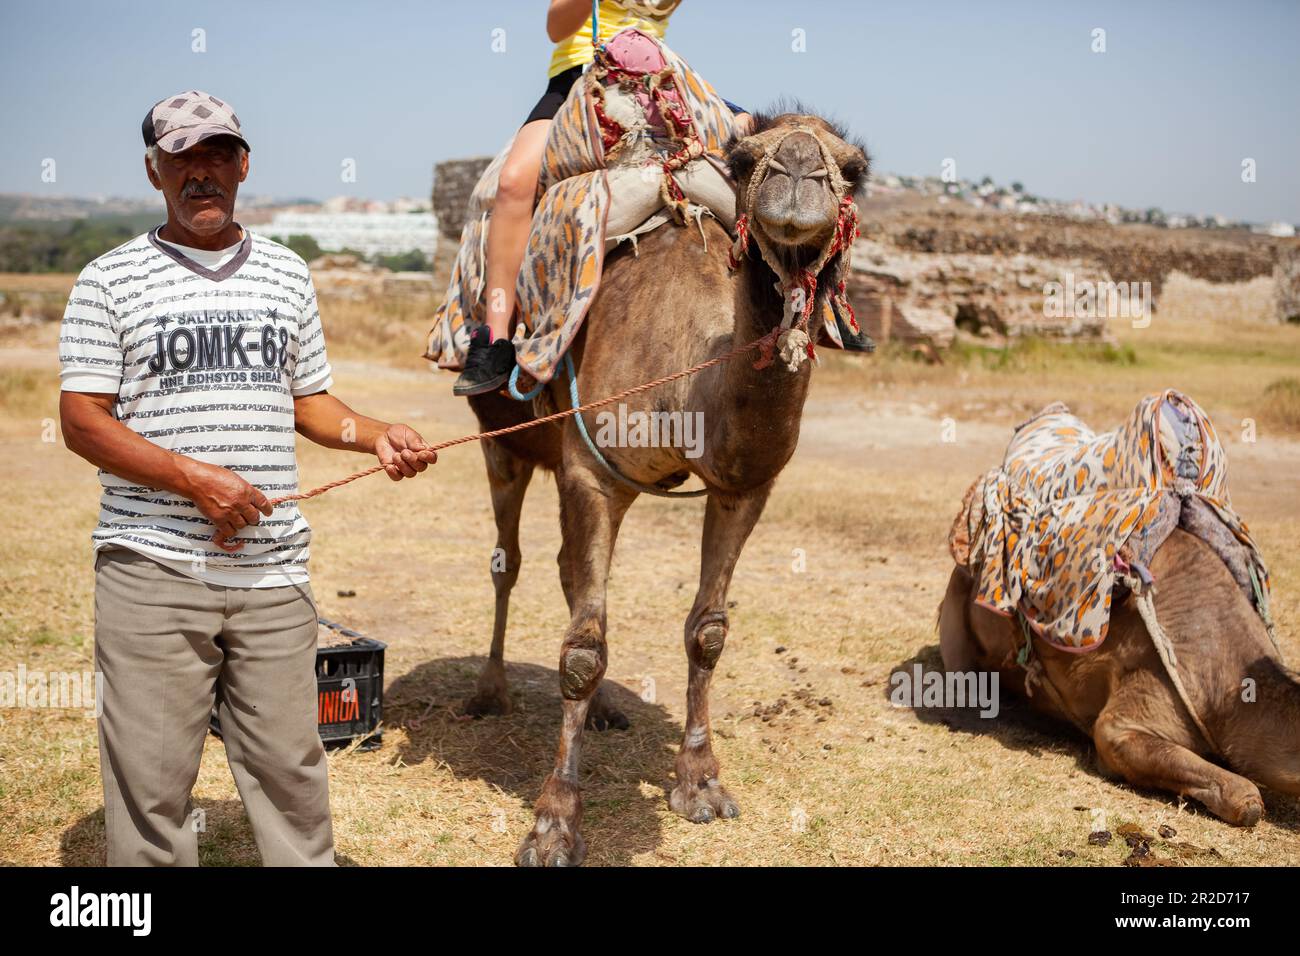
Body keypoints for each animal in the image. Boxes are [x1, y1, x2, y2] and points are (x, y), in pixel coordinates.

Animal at [456, 111, 869, 865]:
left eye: (854, 169)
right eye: (744, 160)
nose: (799, 171)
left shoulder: (743, 485)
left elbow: (707, 632)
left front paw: (701, 784)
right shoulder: (594, 473)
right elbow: (581, 651)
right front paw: (553, 825)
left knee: (569, 573)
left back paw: (607, 712)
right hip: (503, 443)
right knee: (509, 562)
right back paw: (489, 693)